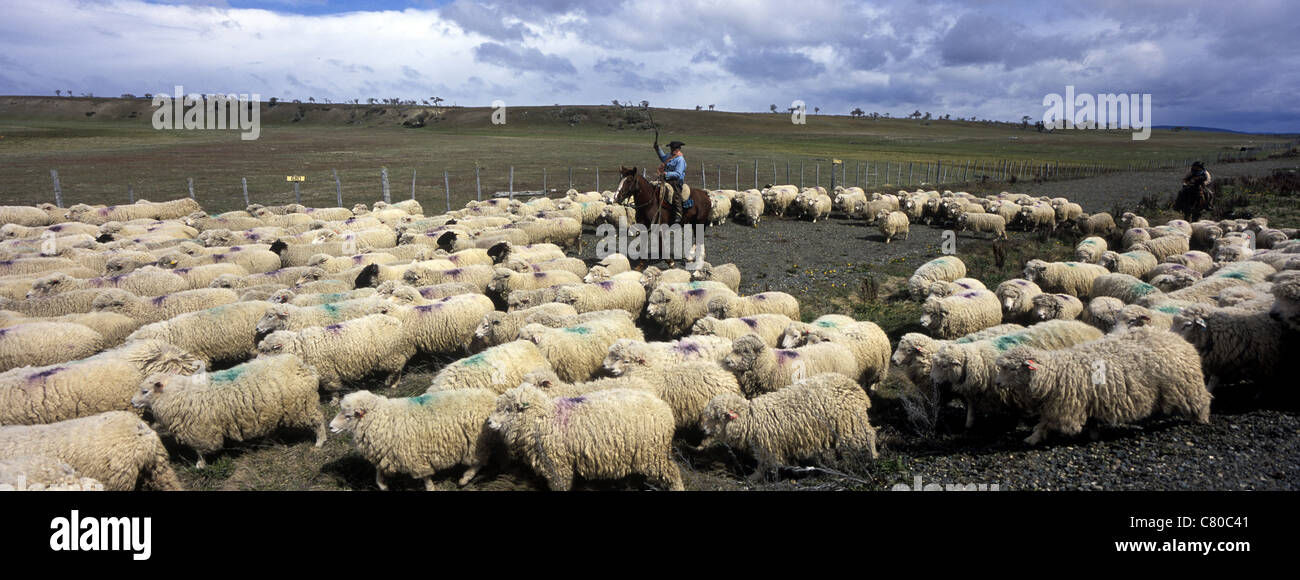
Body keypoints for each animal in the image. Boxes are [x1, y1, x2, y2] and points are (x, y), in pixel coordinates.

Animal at [131, 355, 324, 468]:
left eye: (145, 391)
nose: (132, 402)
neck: (179, 392)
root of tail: (303, 367)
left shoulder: (200, 430)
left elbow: (200, 451)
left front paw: (200, 465)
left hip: (302, 406)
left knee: (318, 420)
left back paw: (320, 442)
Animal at [487, 385, 683, 491]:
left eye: (508, 409)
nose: (488, 421)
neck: (543, 418)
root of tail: (665, 408)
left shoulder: (558, 466)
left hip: (654, 454)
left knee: (673, 473)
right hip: (638, 453)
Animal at [699, 373, 878, 478]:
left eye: (717, 417)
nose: (703, 429)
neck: (752, 419)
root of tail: (856, 388)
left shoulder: (768, 448)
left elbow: (764, 466)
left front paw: (753, 478)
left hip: (851, 424)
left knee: (869, 435)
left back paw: (873, 458)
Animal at [994, 326, 1211, 444]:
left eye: (1011, 368)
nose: (997, 383)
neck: (1055, 374)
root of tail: (1181, 342)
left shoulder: (1065, 406)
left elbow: (1045, 423)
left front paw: (1032, 439)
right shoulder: (1086, 401)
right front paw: (1093, 435)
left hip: (1186, 387)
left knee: (1202, 401)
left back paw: (1202, 419)